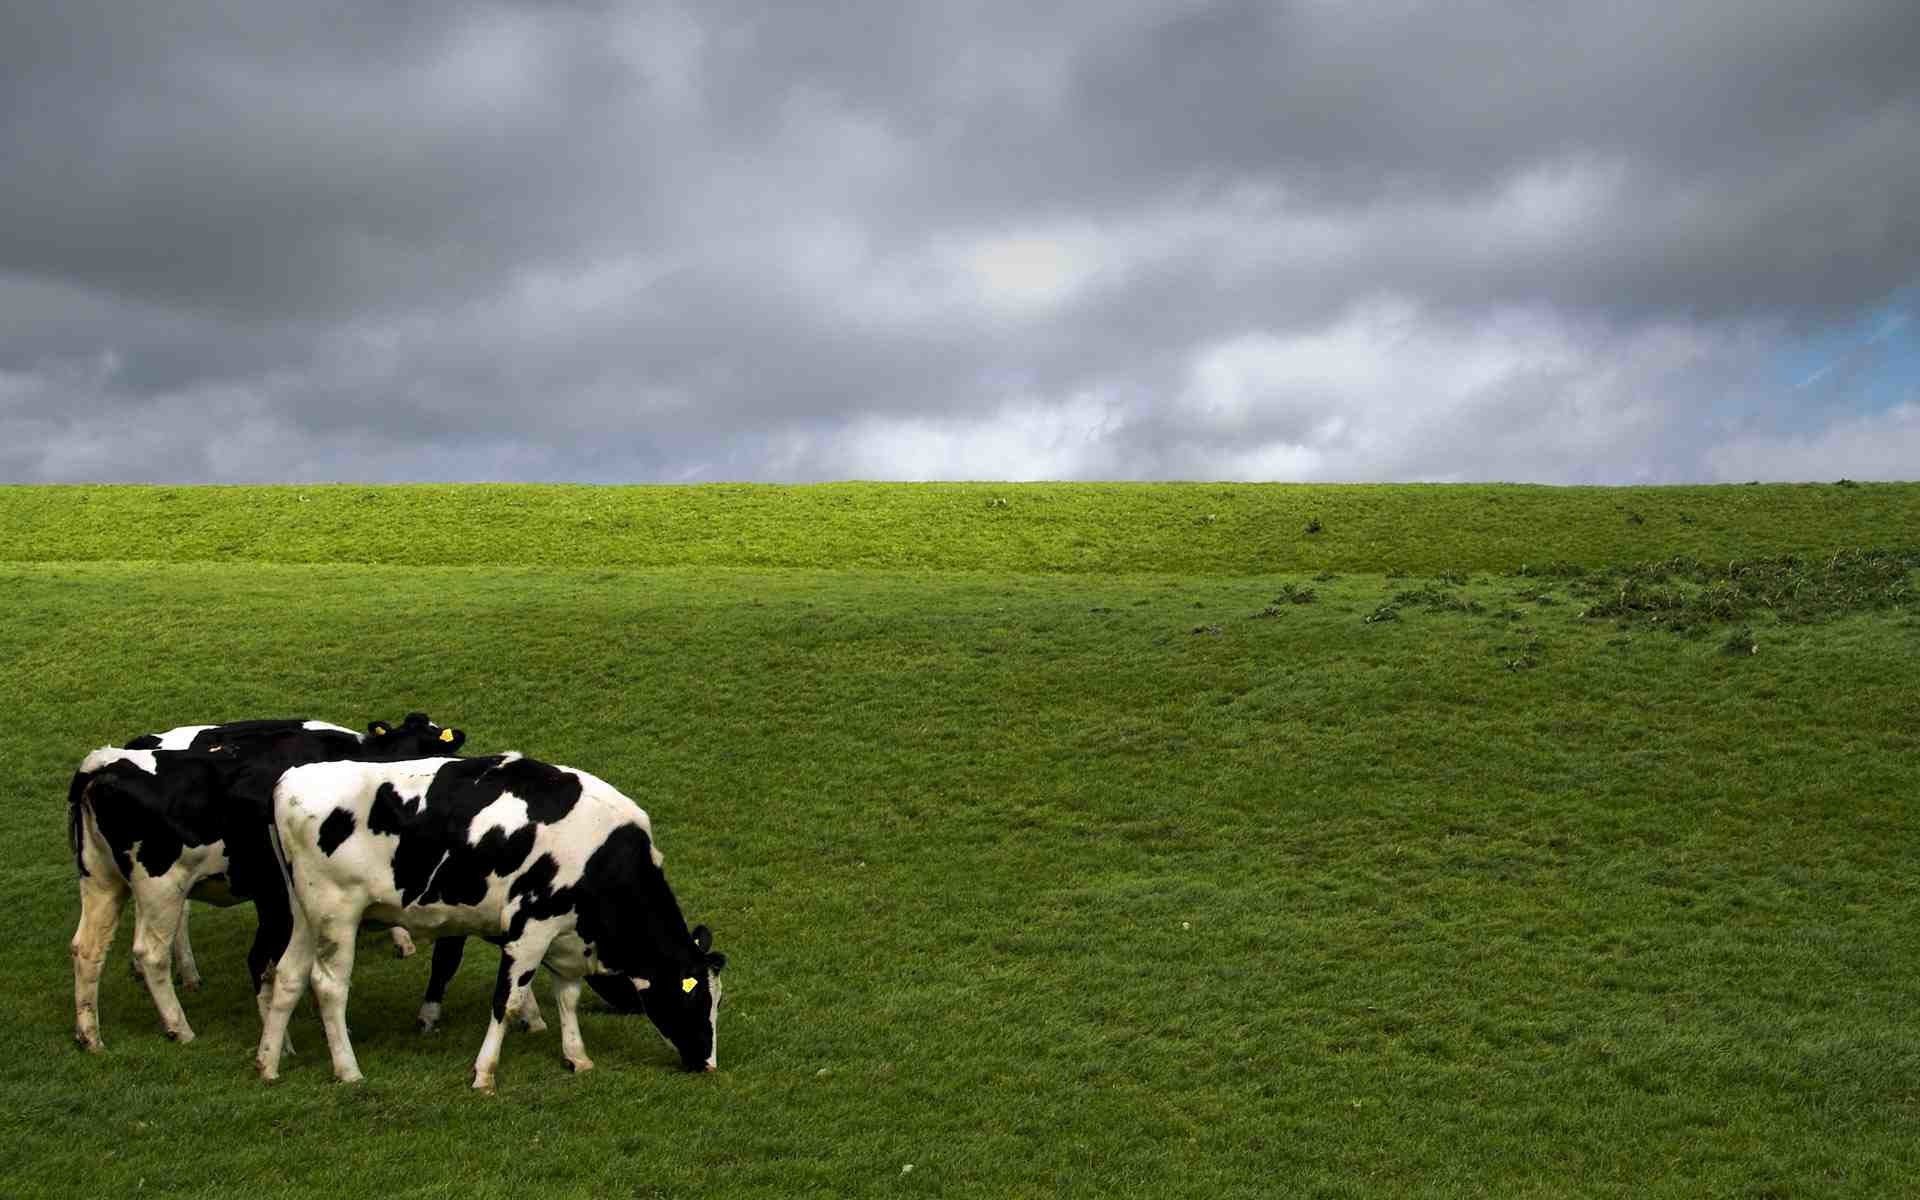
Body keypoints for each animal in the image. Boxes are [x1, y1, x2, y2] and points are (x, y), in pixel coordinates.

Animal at [67, 713, 466, 1051]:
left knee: (87, 949)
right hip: (161, 884)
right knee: (151, 953)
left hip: (102, 881)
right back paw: (179, 1027)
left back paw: (91, 1036)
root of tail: (103, 765)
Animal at [257, 752, 726, 1089]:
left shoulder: (564, 935)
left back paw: (268, 1063)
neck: (603, 853)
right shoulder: (530, 930)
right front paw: (484, 1073)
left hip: (304, 912)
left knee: (287, 976)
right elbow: (508, 1000)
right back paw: (348, 1070)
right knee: (329, 986)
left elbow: (568, 997)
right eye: (697, 1000)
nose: (707, 1063)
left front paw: (577, 1056)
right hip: (337, 914)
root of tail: (289, 779)